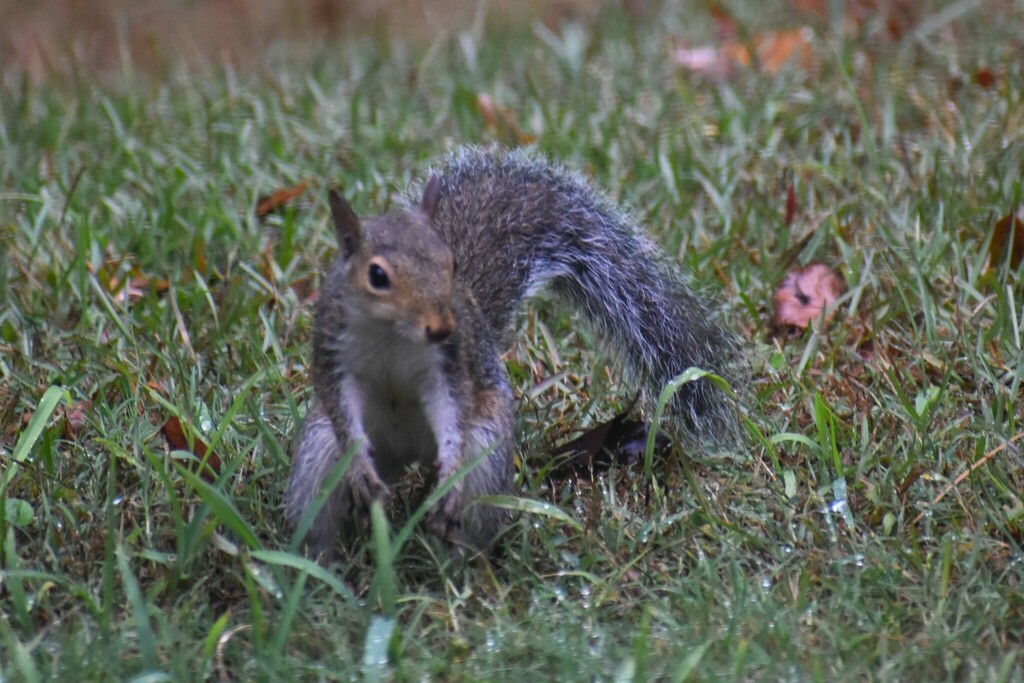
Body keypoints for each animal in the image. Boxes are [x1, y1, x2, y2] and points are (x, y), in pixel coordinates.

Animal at [285, 147, 740, 559]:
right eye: (376, 275)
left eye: (451, 264)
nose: (442, 325)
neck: (393, 335)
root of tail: (408, 457)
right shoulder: (334, 356)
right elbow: (342, 410)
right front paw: (359, 469)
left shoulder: (450, 365)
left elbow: (452, 410)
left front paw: (451, 474)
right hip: (318, 452)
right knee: (319, 508)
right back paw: (320, 561)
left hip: (487, 447)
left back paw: (459, 561)